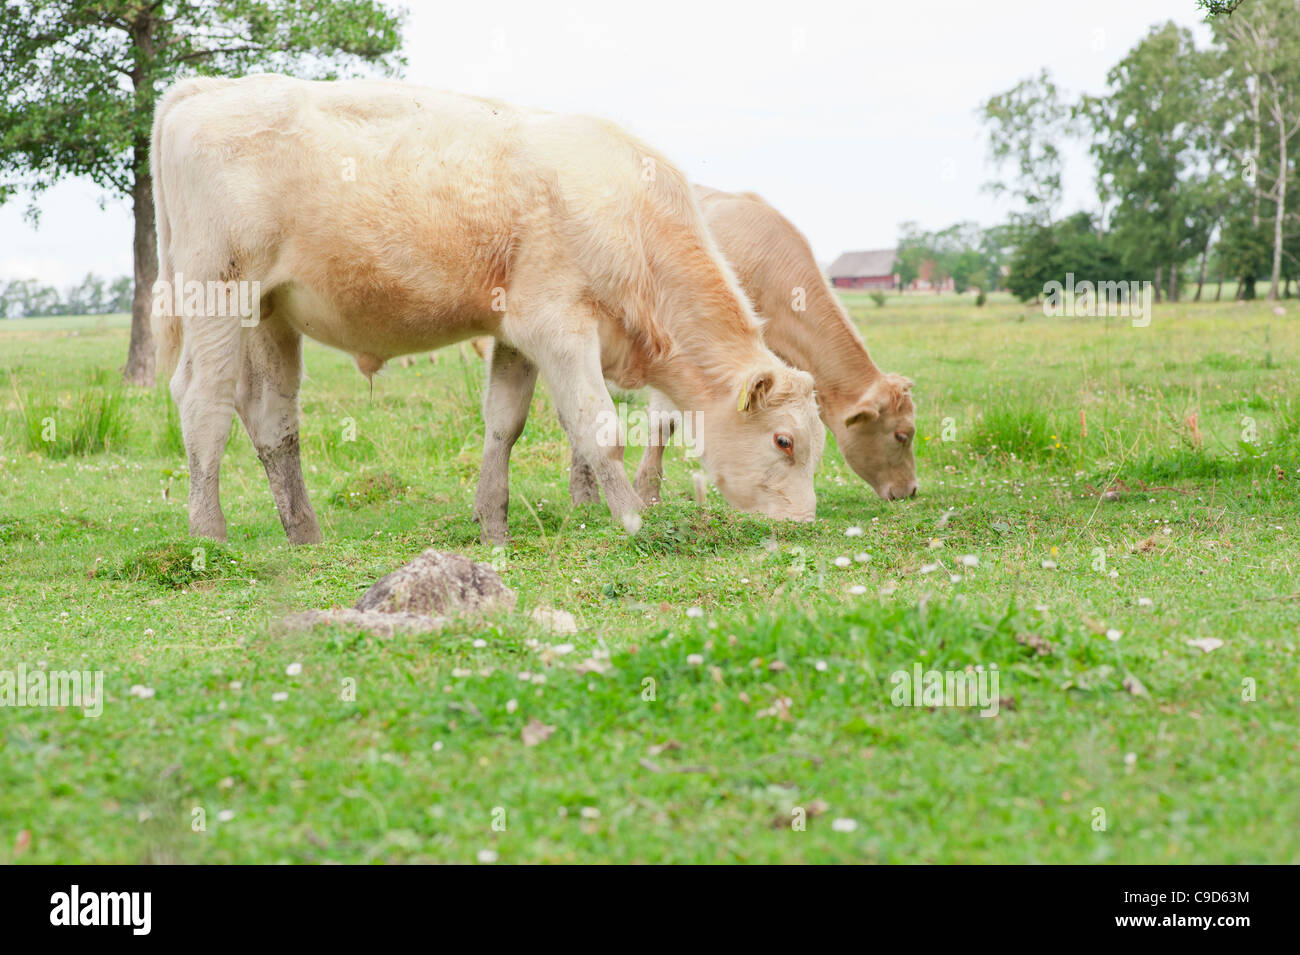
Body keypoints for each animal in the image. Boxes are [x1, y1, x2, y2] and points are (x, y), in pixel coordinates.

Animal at [150, 74, 823, 545]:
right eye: (784, 441)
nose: (803, 523)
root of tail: (203, 89)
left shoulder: (517, 333)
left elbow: (505, 423)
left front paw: (492, 524)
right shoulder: (558, 326)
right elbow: (598, 427)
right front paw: (633, 519)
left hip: (269, 312)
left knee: (272, 420)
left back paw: (305, 535)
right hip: (217, 293)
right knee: (204, 403)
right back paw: (209, 535)